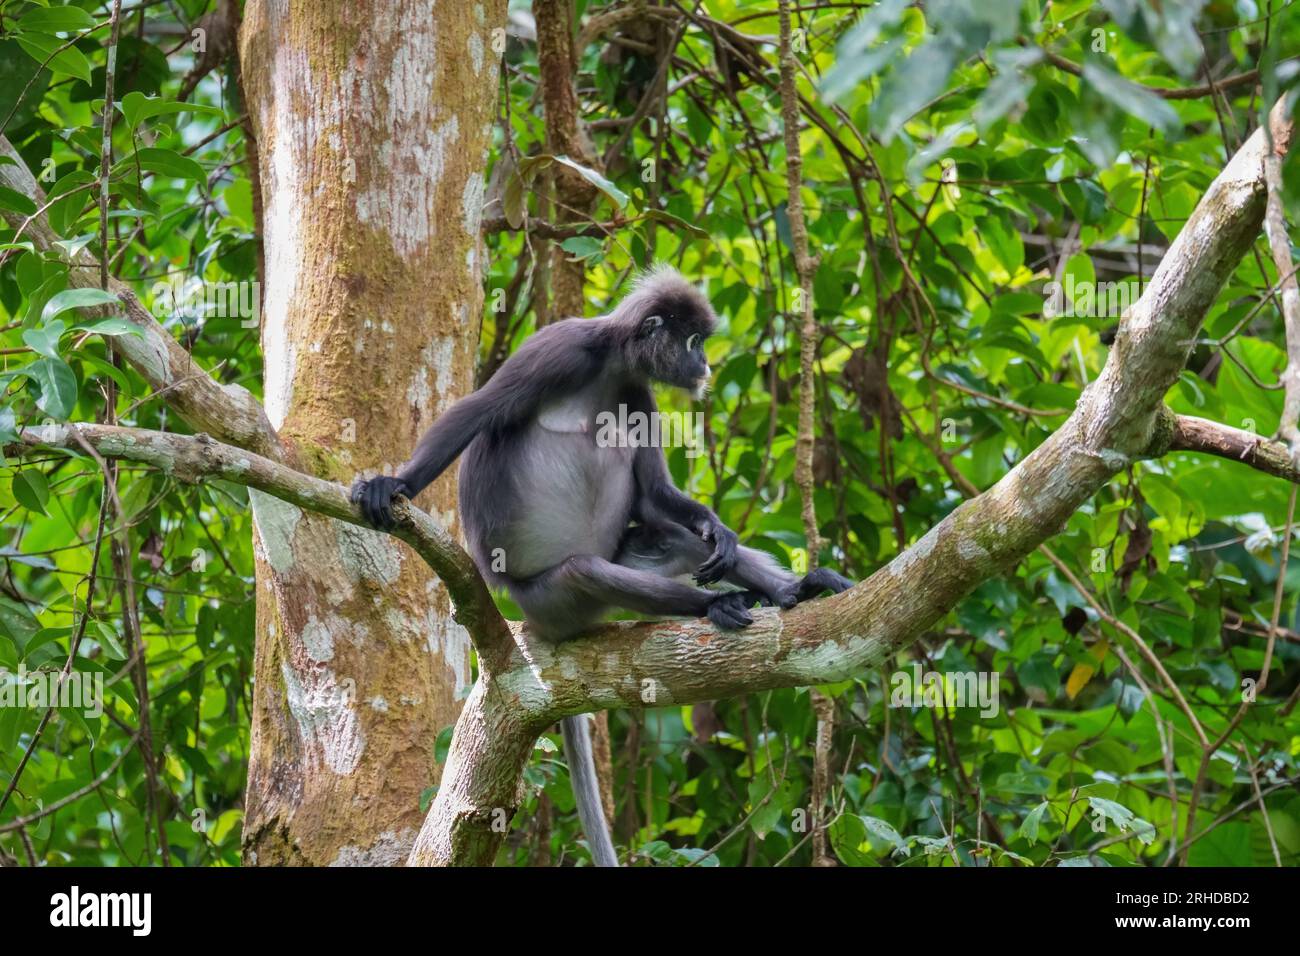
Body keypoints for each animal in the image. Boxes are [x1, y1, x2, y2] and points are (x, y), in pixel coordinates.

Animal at [353, 266, 852, 866]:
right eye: (694, 341)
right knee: (585, 569)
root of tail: (541, 624)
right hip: (552, 595)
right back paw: (715, 604)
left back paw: (790, 592)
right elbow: (475, 413)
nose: (704, 365)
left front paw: (720, 531)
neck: (610, 367)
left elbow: (656, 495)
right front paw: (395, 483)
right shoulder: (559, 350)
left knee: (673, 537)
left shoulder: (636, 390)